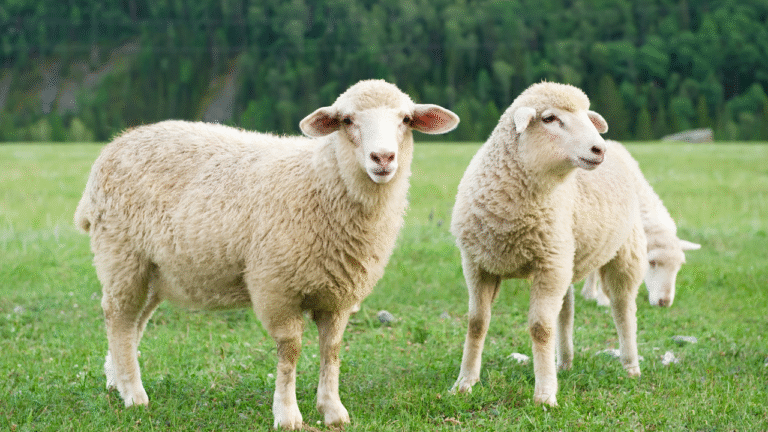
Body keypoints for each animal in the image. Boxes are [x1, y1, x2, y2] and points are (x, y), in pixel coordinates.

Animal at [74, 79, 459, 430]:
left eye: (406, 119)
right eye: (347, 120)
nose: (383, 158)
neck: (322, 181)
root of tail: (116, 144)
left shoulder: (339, 295)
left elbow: (331, 349)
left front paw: (333, 410)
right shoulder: (277, 287)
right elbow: (290, 351)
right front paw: (287, 415)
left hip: (155, 269)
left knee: (133, 323)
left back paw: (117, 378)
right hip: (121, 255)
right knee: (119, 318)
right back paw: (133, 394)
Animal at [449, 82, 647, 407]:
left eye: (587, 117)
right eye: (549, 119)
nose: (599, 149)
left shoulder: (548, 265)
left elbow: (540, 329)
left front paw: (544, 394)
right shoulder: (477, 264)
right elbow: (476, 323)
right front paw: (465, 383)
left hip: (623, 252)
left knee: (623, 308)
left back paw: (630, 366)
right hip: (566, 256)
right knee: (566, 312)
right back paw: (563, 363)